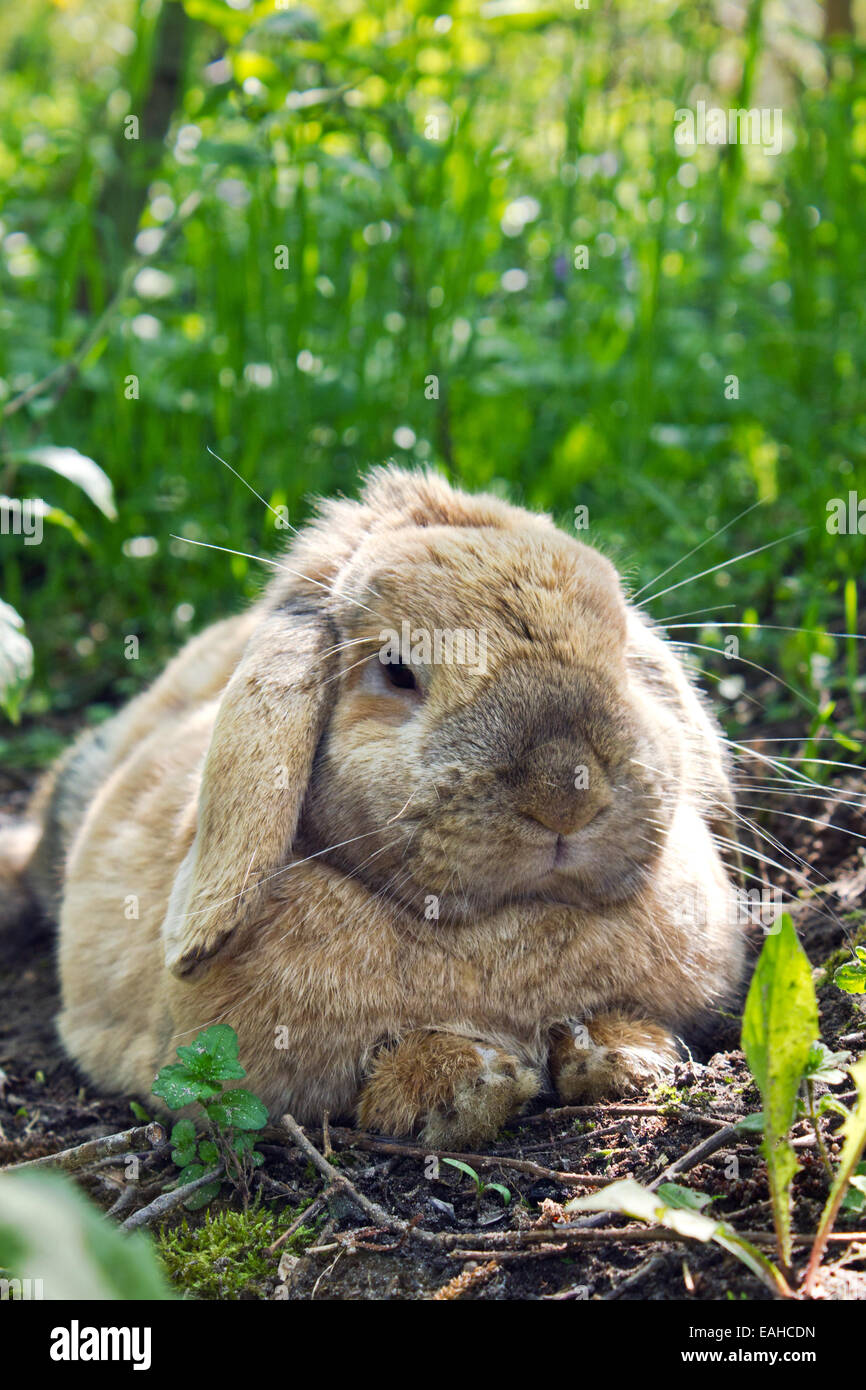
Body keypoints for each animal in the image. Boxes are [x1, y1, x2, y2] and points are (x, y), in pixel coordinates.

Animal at [19, 466, 745, 1148]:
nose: (567, 795)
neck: (504, 929)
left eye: (620, 651)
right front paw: (464, 1086)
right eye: (398, 671)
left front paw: (627, 1056)